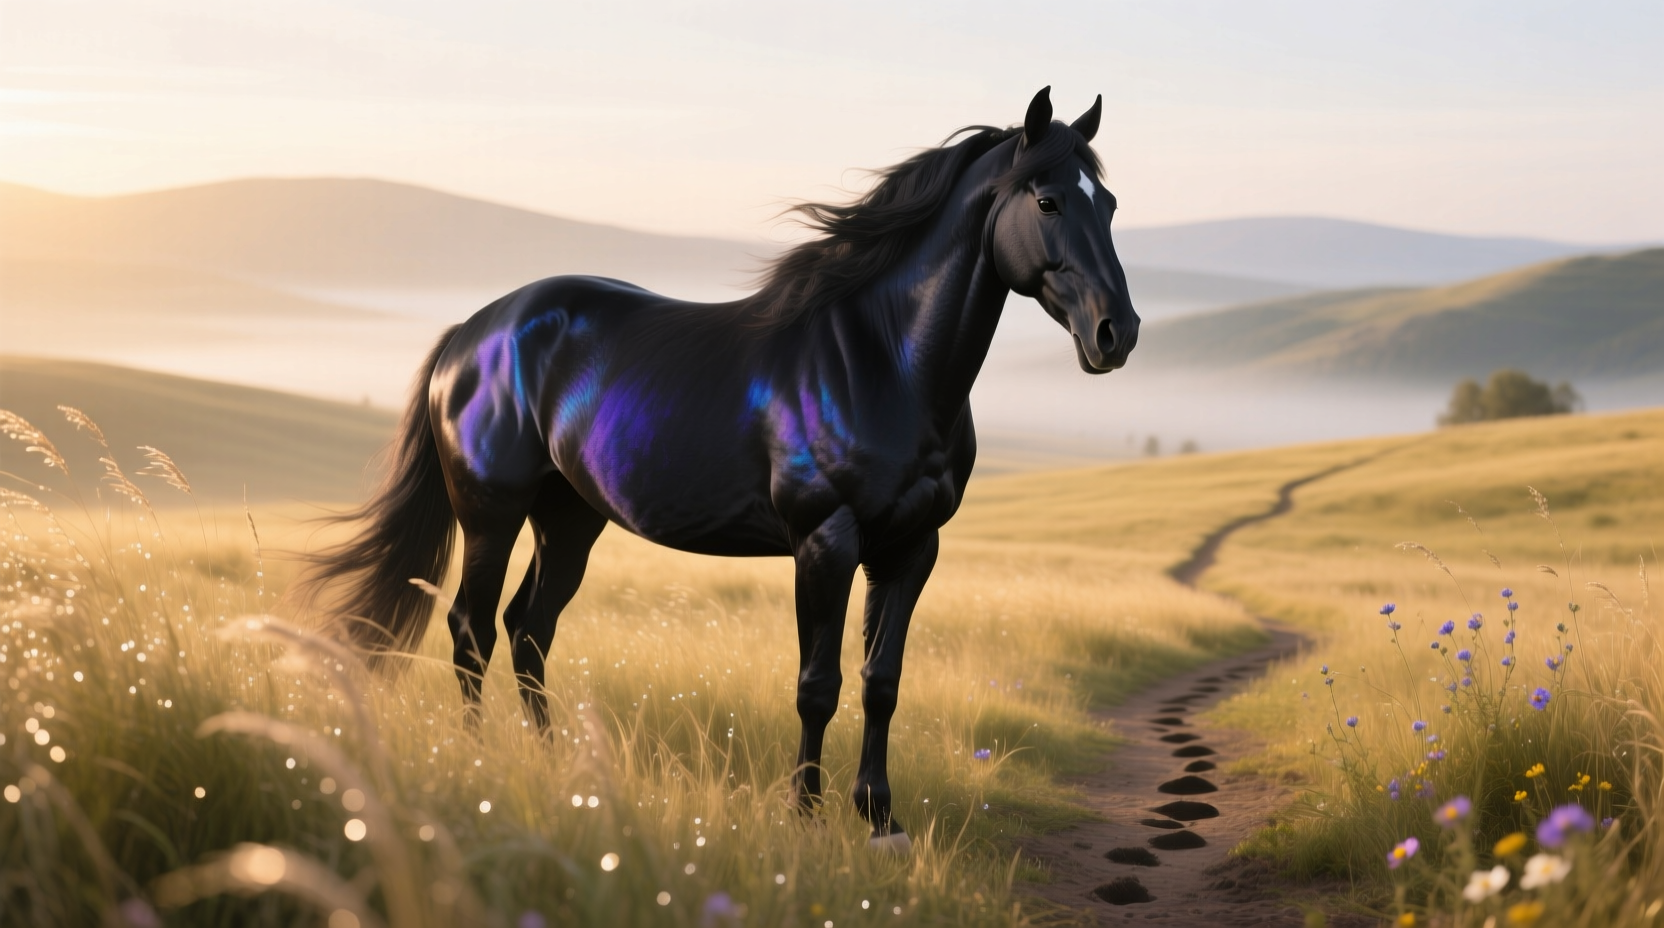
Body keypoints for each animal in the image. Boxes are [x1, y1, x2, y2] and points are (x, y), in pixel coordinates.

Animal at [300, 86, 1139, 851]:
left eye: (1109, 204)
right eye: (1048, 200)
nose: (1117, 333)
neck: (884, 364)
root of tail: (471, 331)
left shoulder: (910, 549)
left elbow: (882, 683)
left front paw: (881, 821)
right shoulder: (825, 542)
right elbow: (818, 685)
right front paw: (805, 817)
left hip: (568, 519)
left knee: (528, 630)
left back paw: (556, 768)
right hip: (490, 516)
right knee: (472, 632)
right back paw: (483, 766)